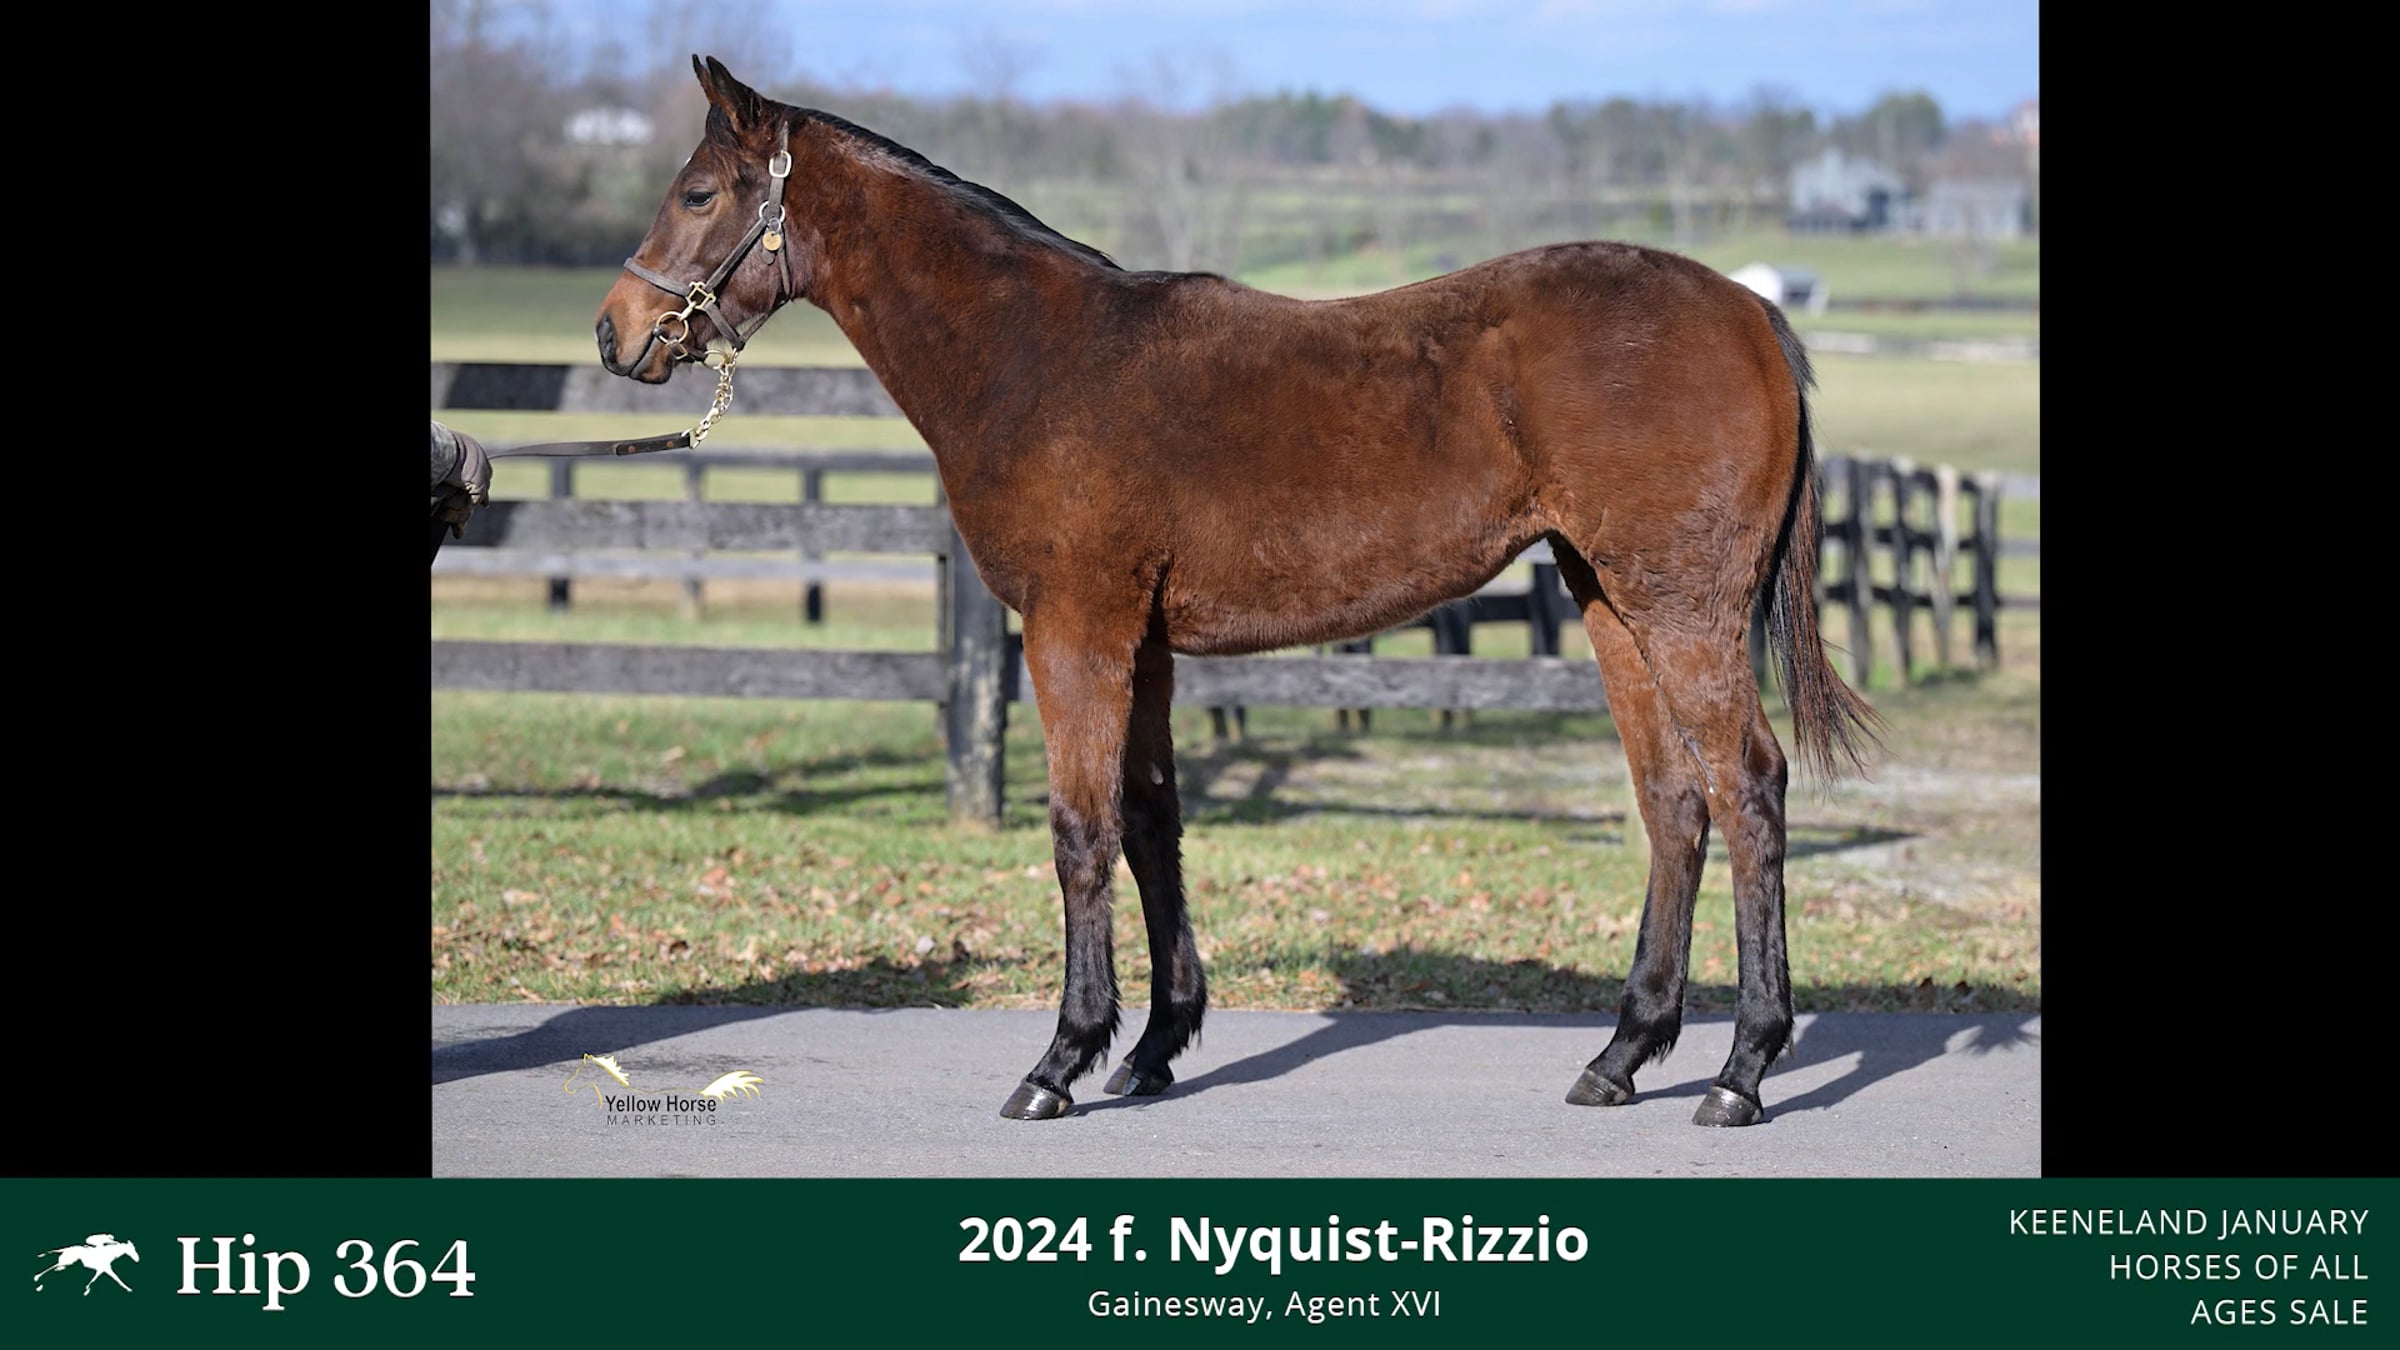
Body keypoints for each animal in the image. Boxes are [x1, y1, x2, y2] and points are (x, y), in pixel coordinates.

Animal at [594, 57, 1881, 1128]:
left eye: (699, 193)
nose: (615, 333)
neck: (1034, 358)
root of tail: (1748, 312)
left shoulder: (1075, 629)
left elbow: (1080, 831)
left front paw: (1060, 1061)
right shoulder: (1147, 643)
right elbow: (1152, 822)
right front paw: (1154, 1047)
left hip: (1683, 609)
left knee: (1748, 788)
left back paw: (1742, 1071)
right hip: (1611, 602)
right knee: (1675, 803)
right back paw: (1621, 1056)